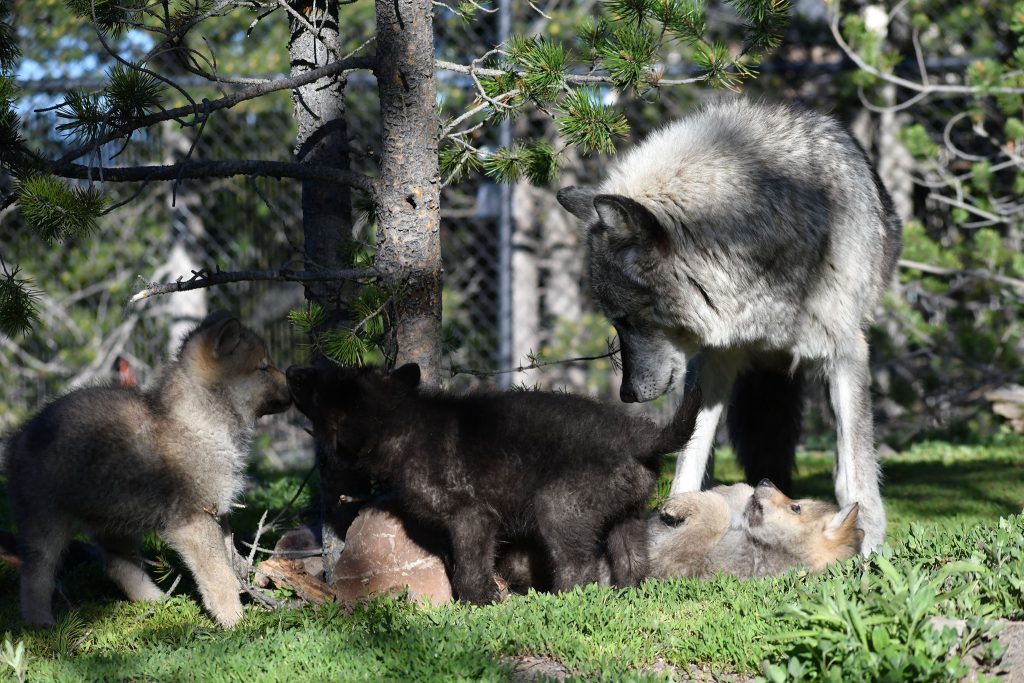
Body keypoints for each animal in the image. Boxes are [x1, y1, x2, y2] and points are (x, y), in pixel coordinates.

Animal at [5, 310, 292, 627]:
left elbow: (228, 559)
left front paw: (245, 584)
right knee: (35, 573)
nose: (295, 377)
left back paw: (155, 601)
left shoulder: (217, 511)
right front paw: (234, 620)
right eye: (263, 368)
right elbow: (219, 574)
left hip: (112, 516)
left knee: (116, 564)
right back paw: (39, 623)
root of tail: (19, 437)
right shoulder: (193, 520)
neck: (201, 424)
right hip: (48, 520)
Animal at [286, 363, 700, 605]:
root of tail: (639, 436)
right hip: (628, 514)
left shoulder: (473, 517)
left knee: (577, 566)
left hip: (559, 508)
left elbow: (469, 567)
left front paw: (478, 602)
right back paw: (630, 593)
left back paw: (558, 603)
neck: (402, 425)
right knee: (632, 559)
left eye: (327, 390)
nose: (292, 369)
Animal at [556, 99, 902, 552]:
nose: (626, 394)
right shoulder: (714, 360)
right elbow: (690, 454)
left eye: (625, 319)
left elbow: (856, 471)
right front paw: (675, 522)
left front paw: (868, 545)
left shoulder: (845, 351)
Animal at [650, 480, 862, 579]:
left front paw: (676, 505)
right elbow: (740, 492)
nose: (765, 480)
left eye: (796, 508)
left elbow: (718, 513)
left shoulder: (677, 557)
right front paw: (726, 491)